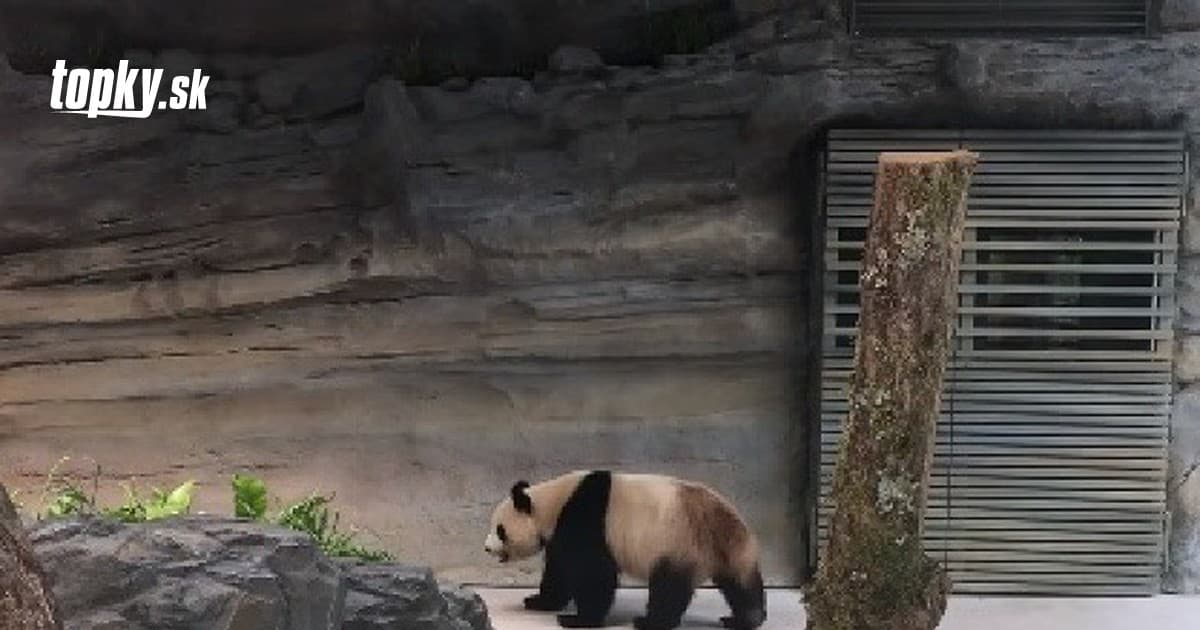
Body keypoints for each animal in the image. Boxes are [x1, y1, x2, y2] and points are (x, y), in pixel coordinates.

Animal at [483, 470, 766, 630]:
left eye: (500, 529)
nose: (486, 548)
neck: (553, 501)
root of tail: (723, 522)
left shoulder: (585, 516)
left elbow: (592, 571)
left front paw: (579, 619)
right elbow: (559, 569)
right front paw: (538, 601)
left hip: (678, 543)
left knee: (669, 587)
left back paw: (651, 622)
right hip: (732, 551)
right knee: (741, 585)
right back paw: (745, 619)